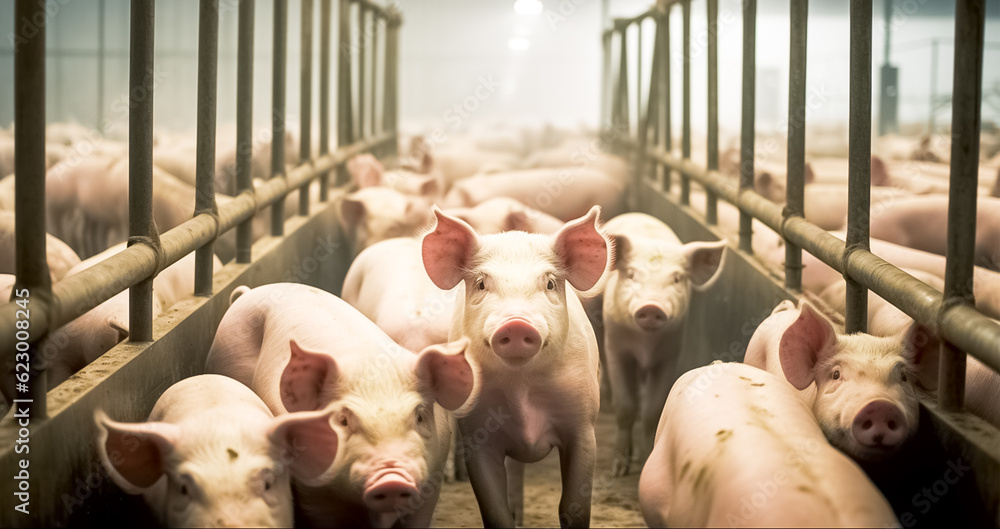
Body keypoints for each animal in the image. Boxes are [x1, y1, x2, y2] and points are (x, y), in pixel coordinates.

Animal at [204, 283, 476, 528]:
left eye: (419, 417)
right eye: (343, 420)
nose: (392, 478)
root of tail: (248, 292)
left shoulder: (431, 484)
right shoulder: (311, 493)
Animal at [421, 206, 609, 527]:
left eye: (549, 283)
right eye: (482, 283)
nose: (517, 323)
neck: (522, 386)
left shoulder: (583, 426)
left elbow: (573, 505)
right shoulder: (477, 433)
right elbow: (495, 508)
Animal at [600, 212, 728, 476]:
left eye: (677, 279)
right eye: (631, 275)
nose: (651, 306)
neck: (644, 345)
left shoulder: (669, 353)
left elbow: (651, 410)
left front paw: (643, 461)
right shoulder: (616, 347)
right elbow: (625, 406)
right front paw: (619, 470)